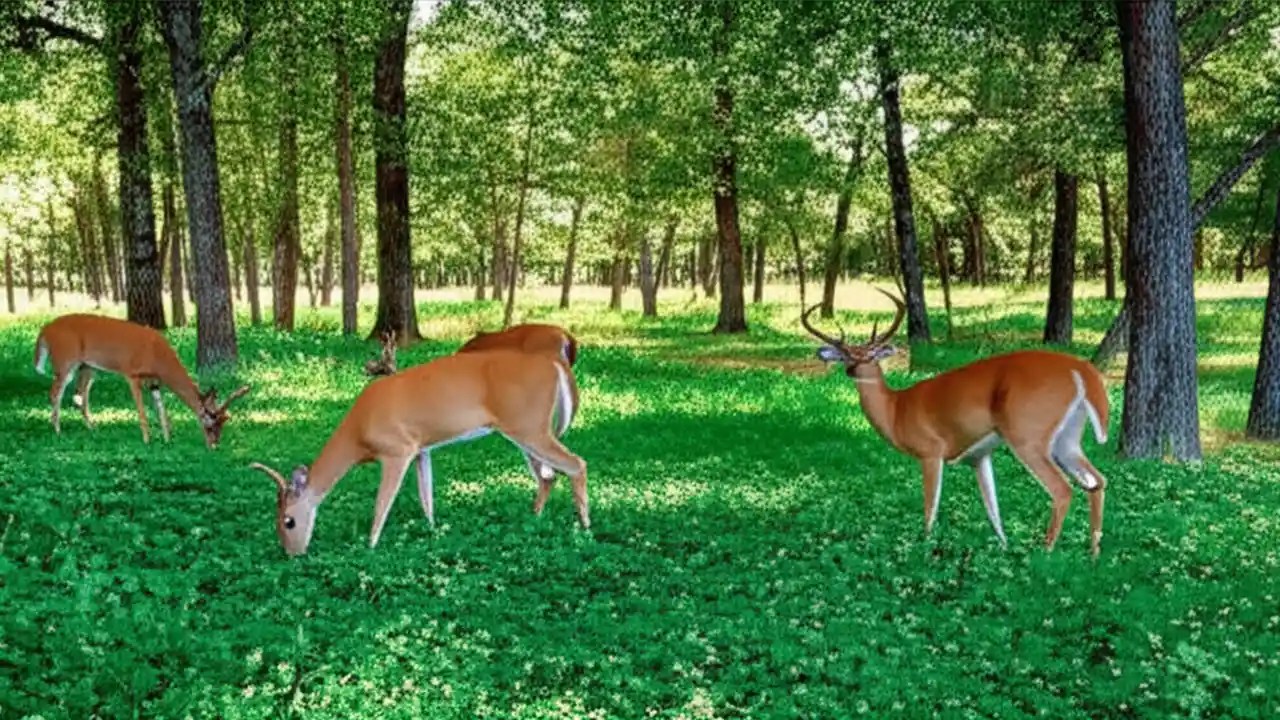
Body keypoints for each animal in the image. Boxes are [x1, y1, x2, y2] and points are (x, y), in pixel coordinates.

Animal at [33, 313, 251, 449]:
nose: (214, 445)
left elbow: (162, 411)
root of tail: (44, 331)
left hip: (88, 367)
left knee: (81, 395)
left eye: (224, 423)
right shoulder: (132, 373)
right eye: (211, 424)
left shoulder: (154, 381)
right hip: (65, 361)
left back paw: (92, 428)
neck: (159, 358)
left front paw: (167, 439)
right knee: (55, 392)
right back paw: (57, 430)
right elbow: (143, 411)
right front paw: (147, 440)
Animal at [247, 346, 585, 556]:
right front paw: (434, 530)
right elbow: (427, 497)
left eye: (288, 521)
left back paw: (584, 527)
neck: (359, 432)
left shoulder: (397, 449)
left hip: (529, 426)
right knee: (548, 476)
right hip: (525, 430)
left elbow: (382, 503)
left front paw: (370, 545)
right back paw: (535, 518)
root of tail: (555, 365)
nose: (293, 553)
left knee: (575, 464)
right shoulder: (421, 449)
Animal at [800, 290, 1110, 557]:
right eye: (846, 355)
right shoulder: (978, 456)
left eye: (872, 355)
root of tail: (1080, 369)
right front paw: (1004, 547)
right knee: (1097, 480)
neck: (895, 410)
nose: (855, 368)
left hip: (1028, 431)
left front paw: (925, 546)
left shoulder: (931, 449)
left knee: (1063, 489)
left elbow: (930, 508)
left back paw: (1045, 553)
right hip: (1067, 437)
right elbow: (993, 511)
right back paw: (1093, 553)